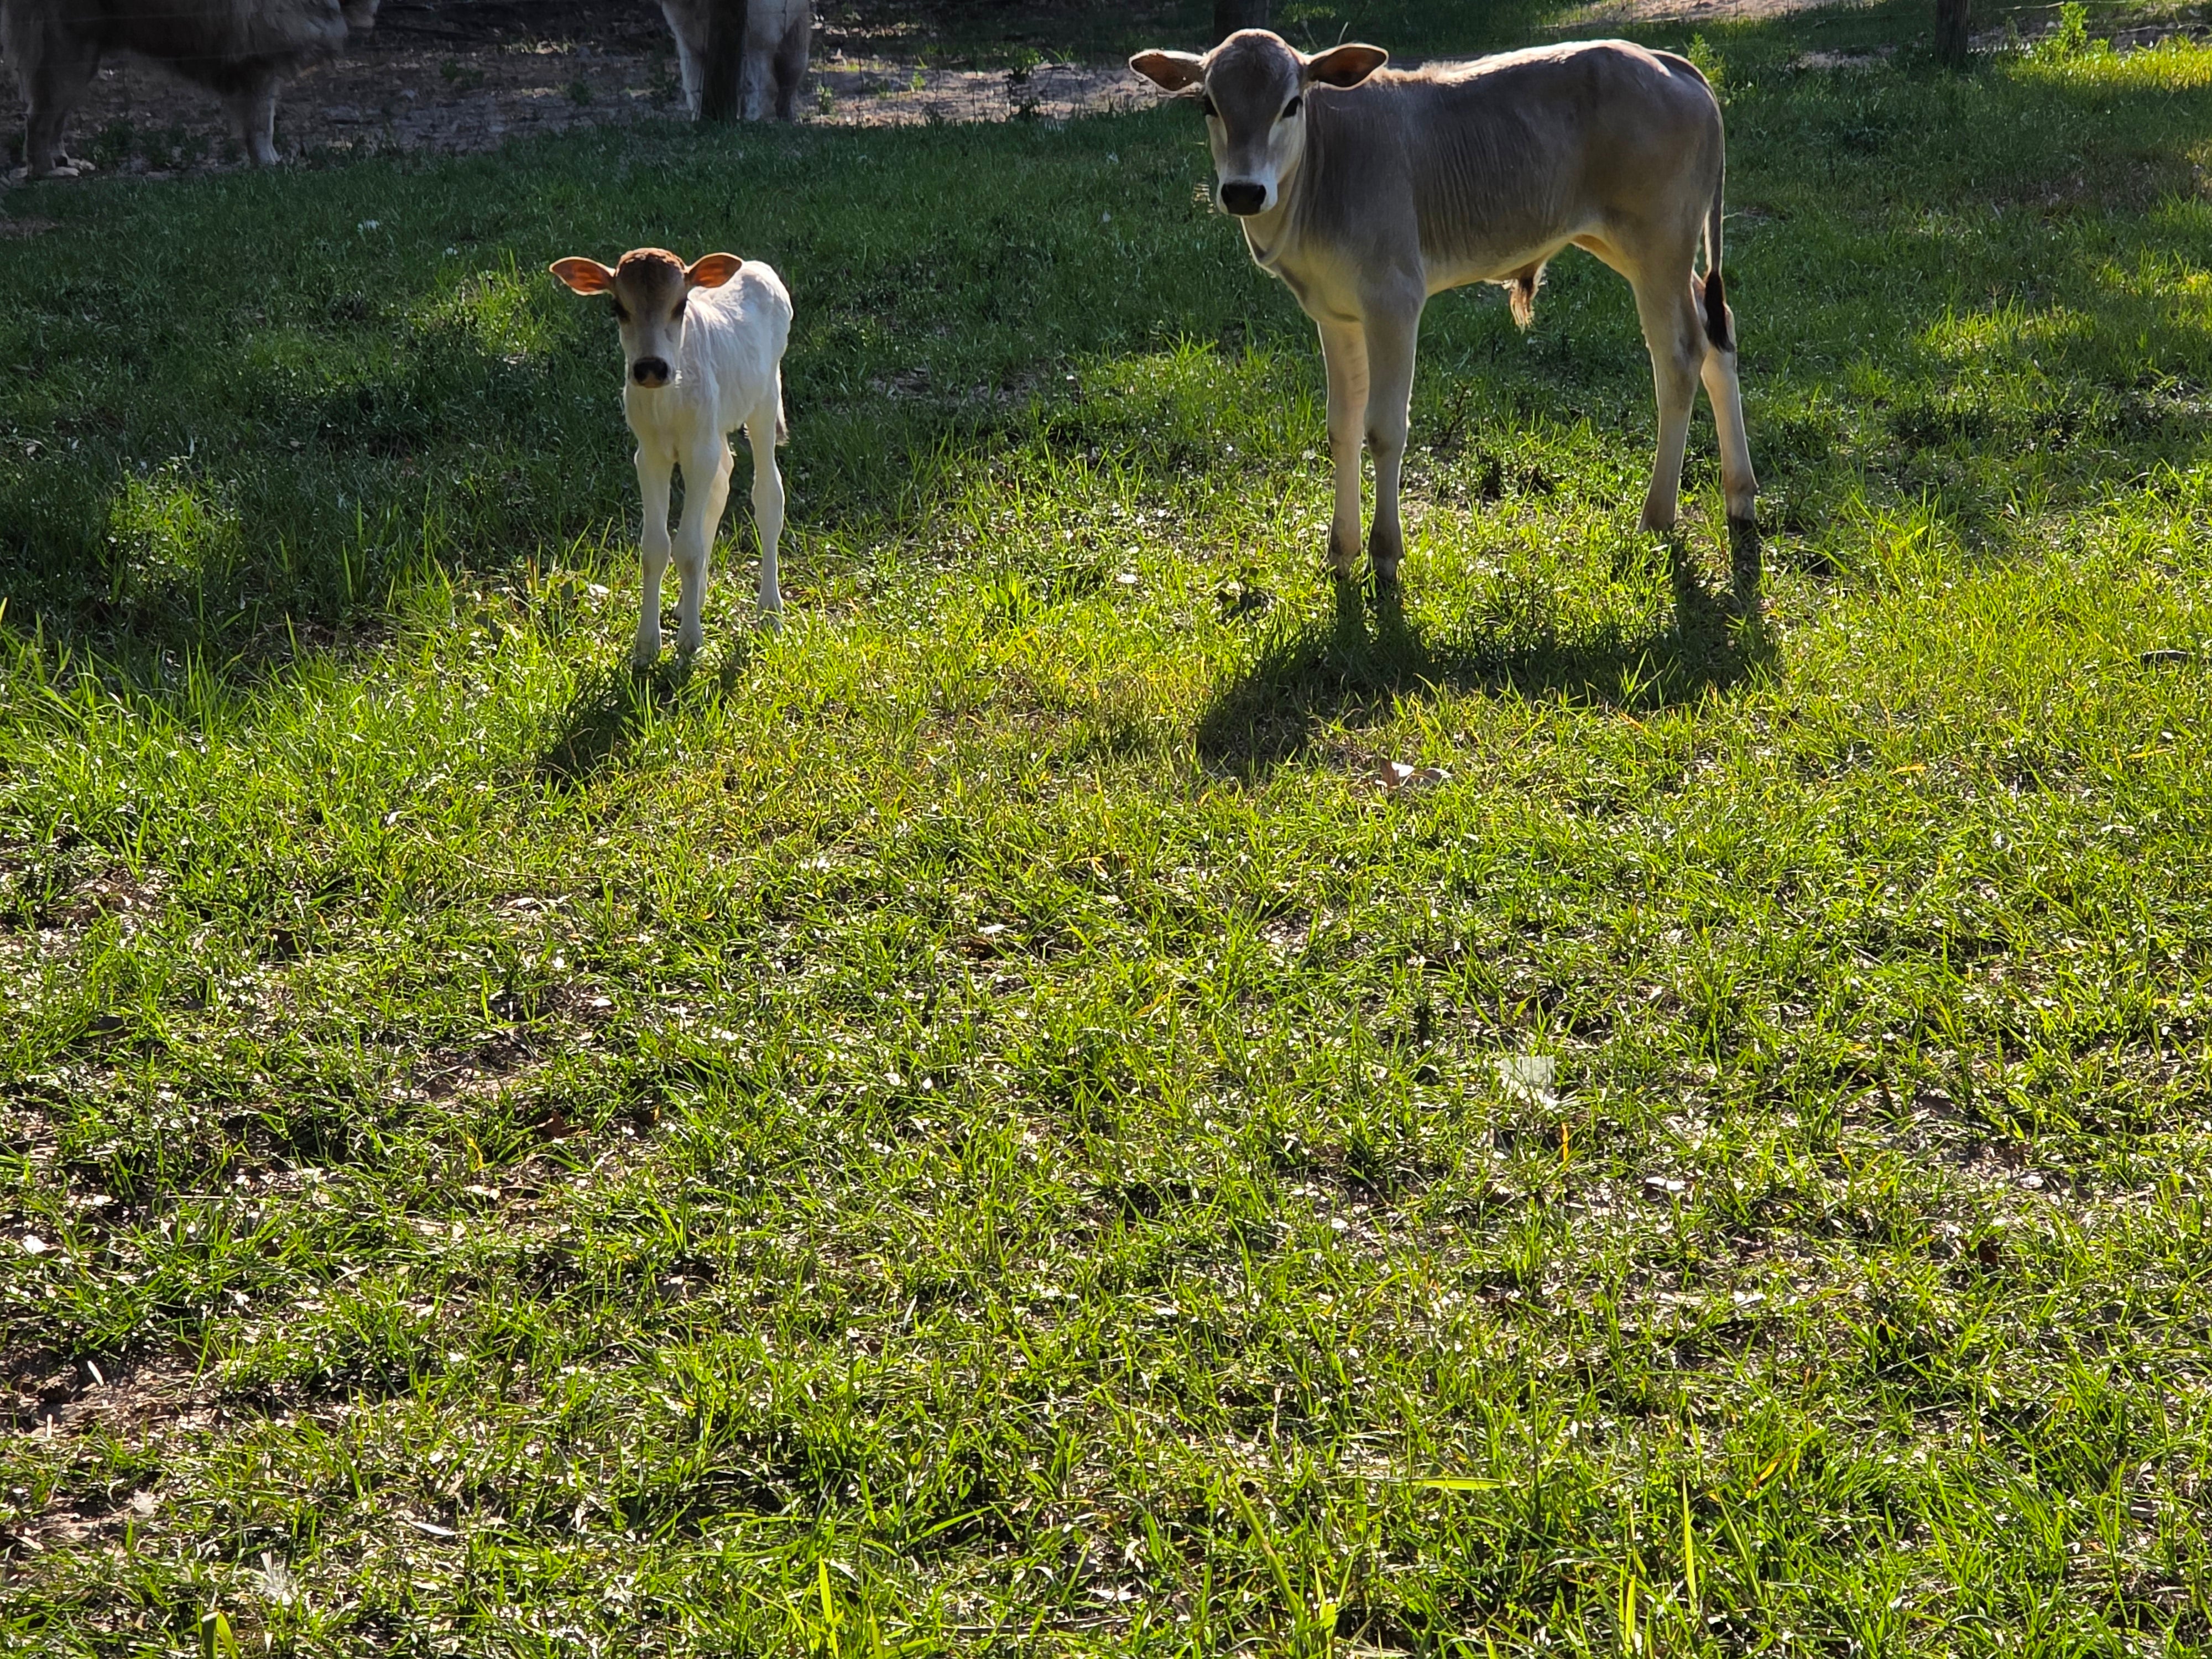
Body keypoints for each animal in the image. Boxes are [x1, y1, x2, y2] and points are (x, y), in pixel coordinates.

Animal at [3, 0, 378, 179]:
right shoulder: (258, 66)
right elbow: (261, 126)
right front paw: (268, 163)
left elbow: (263, 124)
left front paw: (269, 160)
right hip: (70, 56)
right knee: (38, 120)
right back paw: (48, 172)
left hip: (81, 60)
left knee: (53, 120)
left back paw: (63, 160)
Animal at [550, 248, 793, 663]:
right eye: (618, 307)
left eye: (680, 305)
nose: (650, 367)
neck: (668, 401)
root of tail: (757, 266)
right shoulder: (649, 455)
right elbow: (656, 547)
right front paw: (647, 644)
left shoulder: (697, 450)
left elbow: (688, 547)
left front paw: (690, 642)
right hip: (716, 427)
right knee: (722, 480)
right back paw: (690, 601)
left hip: (764, 397)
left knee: (767, 496)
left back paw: (770, 611)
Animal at [1128, 29, 1757, 594]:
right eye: (1209, 104)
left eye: (1292, 103)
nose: (1243, 191)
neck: (1322, 171)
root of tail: (1667, 62)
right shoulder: (1333, 314)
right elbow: (1341, 426)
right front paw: (1340, 550)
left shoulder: (1394, 300)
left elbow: (1384, 429)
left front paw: (1384, 553)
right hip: (1646, 250)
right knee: (1717, 333)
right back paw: (1740, 497)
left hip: (1658, 245)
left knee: (1680, 355)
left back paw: (1657, 516)